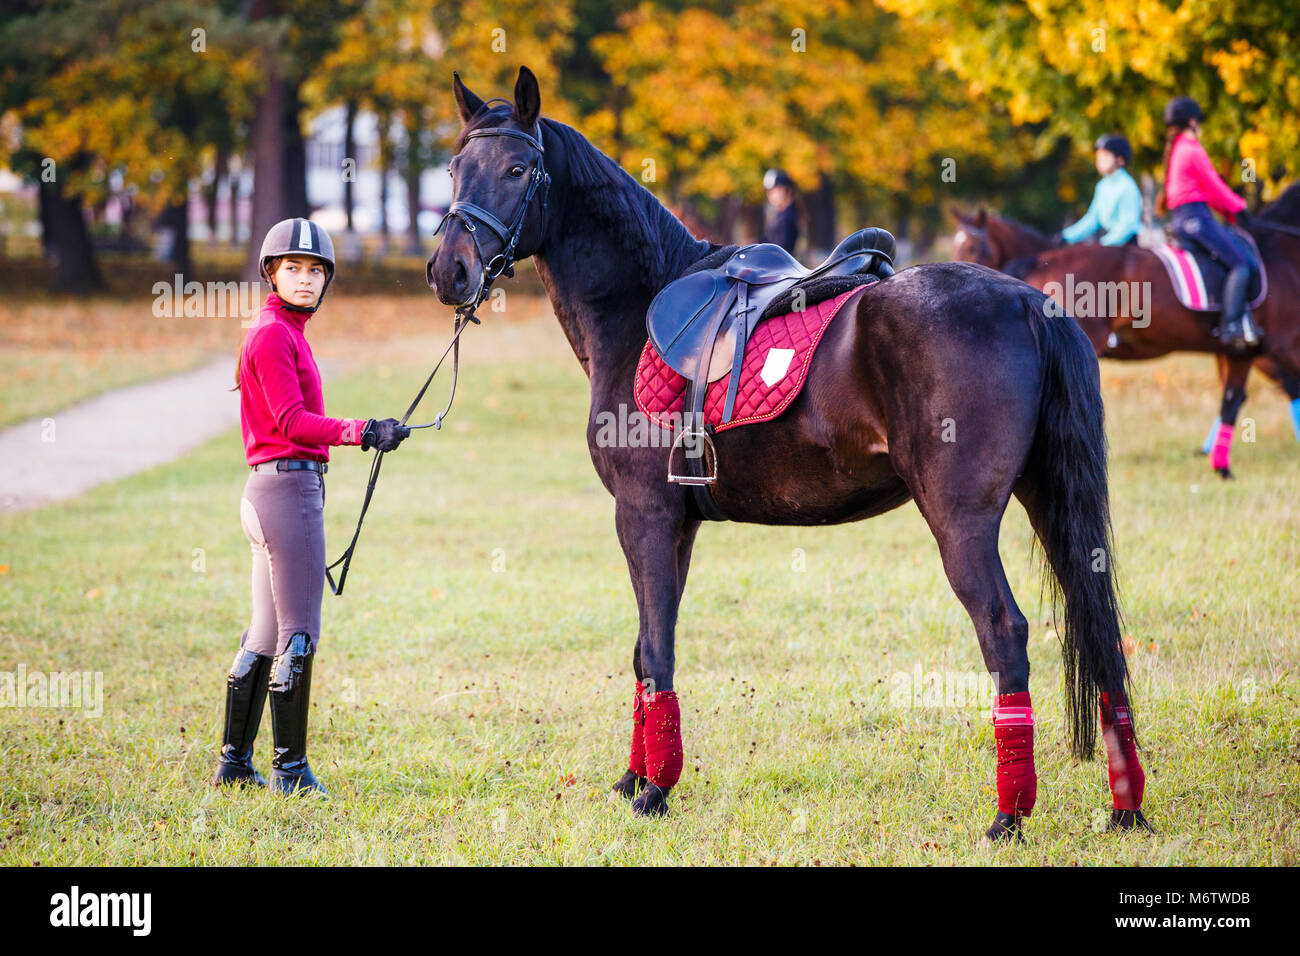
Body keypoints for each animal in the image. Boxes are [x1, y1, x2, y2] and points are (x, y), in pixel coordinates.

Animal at [426, 66, 1152, 842]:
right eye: (455, 168)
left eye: (517, 169)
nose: (449, 271)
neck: (640, 305)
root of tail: (1027, 304)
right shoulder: (676, 525)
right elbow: (647, 646)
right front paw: (636, 779)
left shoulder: (643, 515)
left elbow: (655, 647)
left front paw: (656, 792)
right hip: (1048, 500)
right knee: (1097, 622)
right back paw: (1126, 804)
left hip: (961, 521)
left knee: (1004, 632)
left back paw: (1008, 815)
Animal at [952, 207, 1300, 478]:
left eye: (974, 248)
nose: (961, 276)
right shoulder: (1273, 348)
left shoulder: (1246, 351)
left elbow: (1232, 400)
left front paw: (1220, 466)